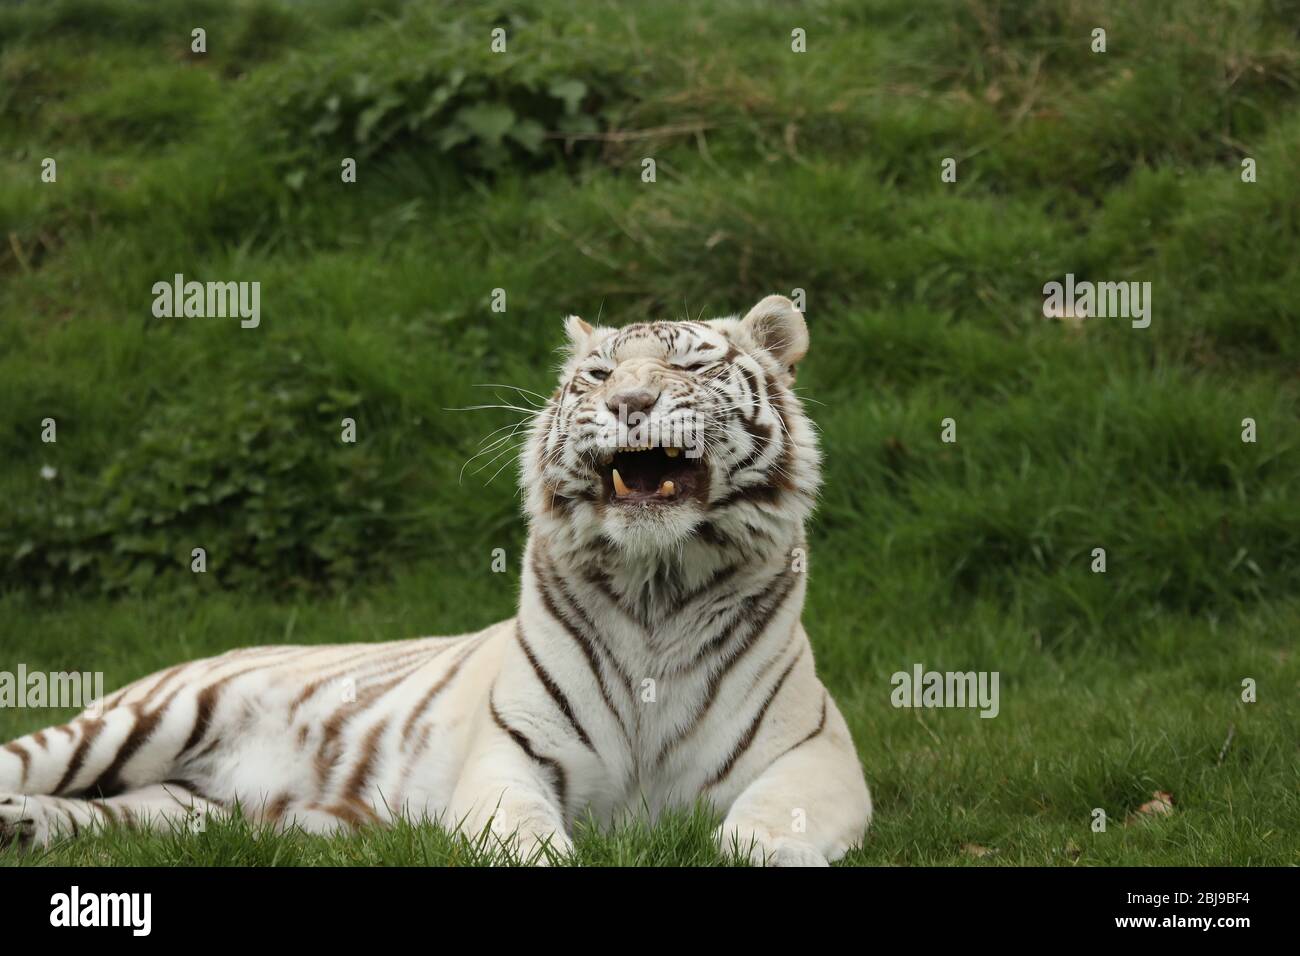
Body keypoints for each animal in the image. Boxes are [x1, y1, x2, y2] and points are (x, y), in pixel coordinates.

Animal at [0, 295, 871, 866]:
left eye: (694, 363)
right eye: (596, 373)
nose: (630, 400)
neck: (657, 586)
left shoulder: (817, 754)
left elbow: (765, 833)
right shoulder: (514, 754)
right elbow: (524, 838)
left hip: (185, 813)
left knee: (109, 816)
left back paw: (27, 827)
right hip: (143, 719)